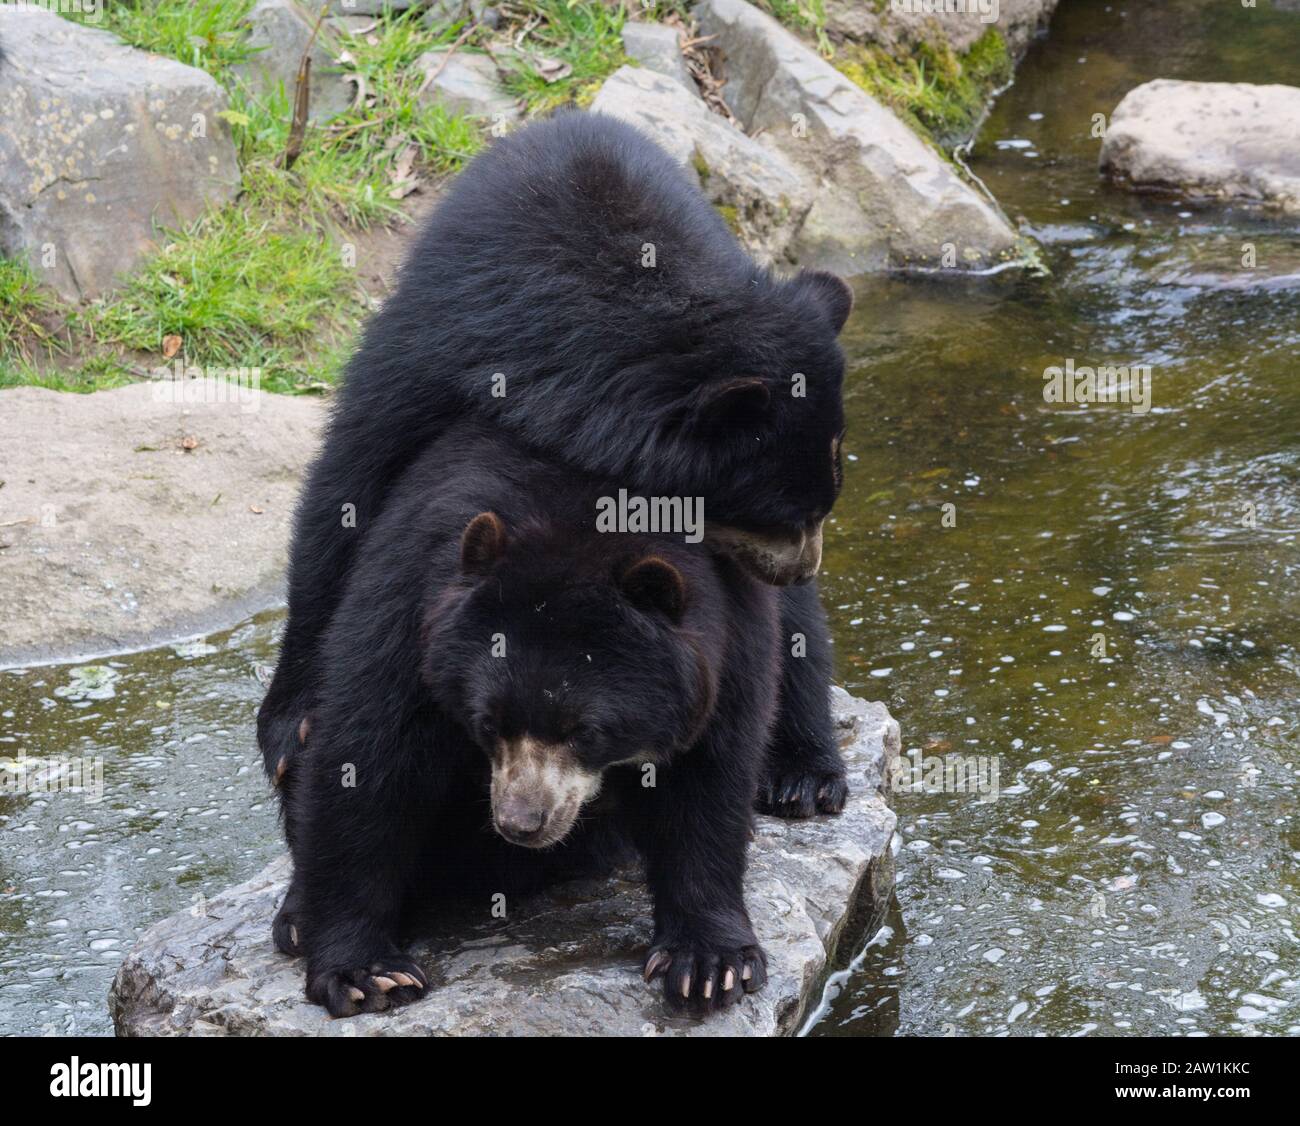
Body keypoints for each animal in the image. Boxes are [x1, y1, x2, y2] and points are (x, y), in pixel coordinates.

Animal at [257, 111, 854, 809]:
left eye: (818, 511)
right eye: (781, 517)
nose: (803, 567)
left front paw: (803, 772)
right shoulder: (435, 342)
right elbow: (347, 492)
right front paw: (291, 731)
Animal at [278, 421, 818, 1016]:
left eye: (585, 733)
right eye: (488, 724)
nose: (521, 823)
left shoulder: (728, 630)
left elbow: (708, 774)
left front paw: (709, 966)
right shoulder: (412, 598)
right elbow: (368, 757)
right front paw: (369, 974)